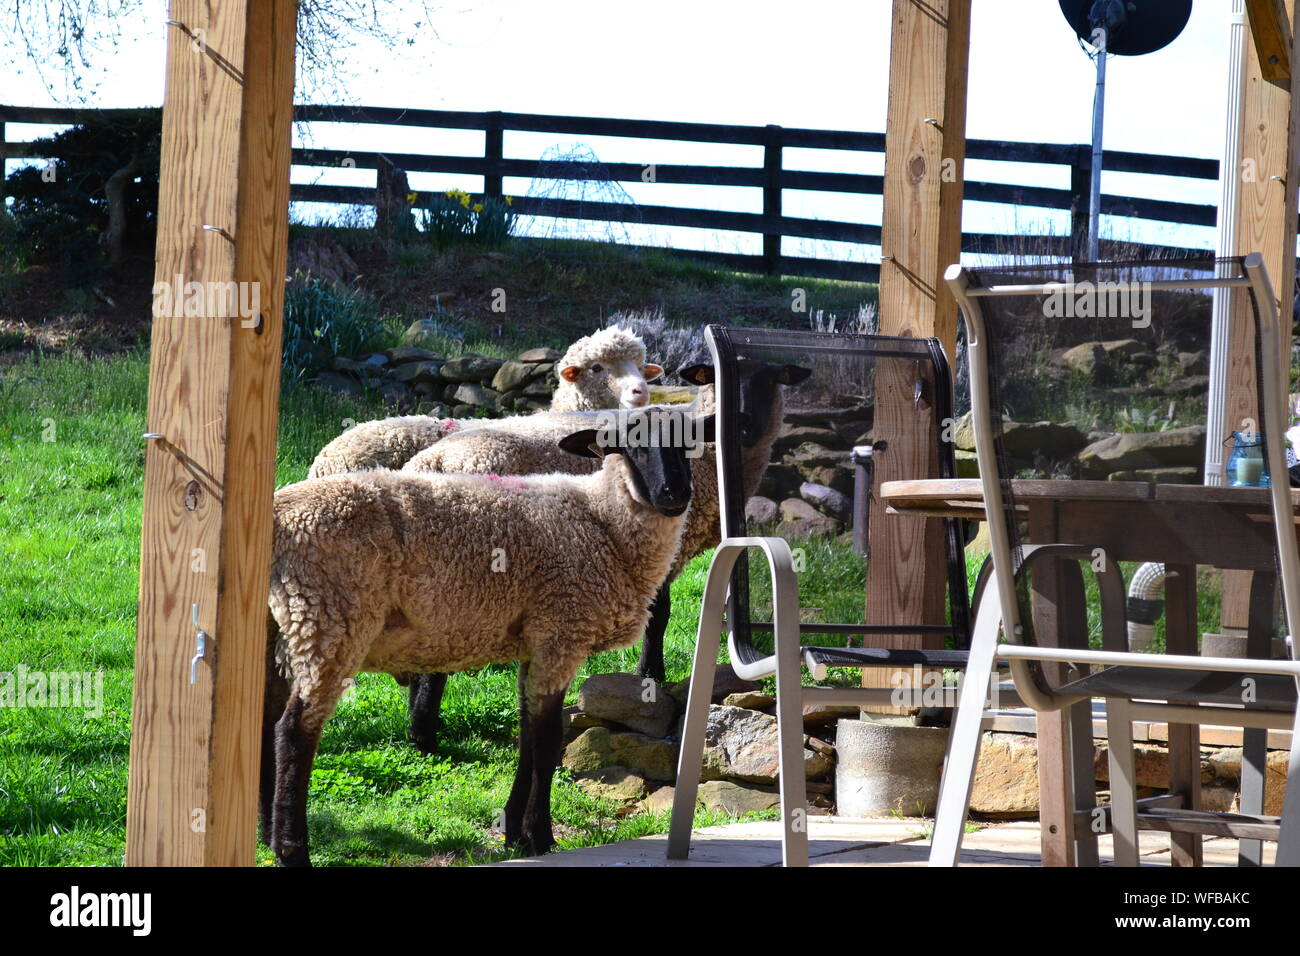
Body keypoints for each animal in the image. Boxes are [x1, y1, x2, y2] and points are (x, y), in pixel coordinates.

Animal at [261, 407, 711, 865]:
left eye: (689, 442)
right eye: (630, 445)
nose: (674, 493)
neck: (603, 522)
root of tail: (280, 514)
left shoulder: (535, 642)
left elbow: (528, 735)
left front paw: (515, 831)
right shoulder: (560, 632)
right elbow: (548, 741)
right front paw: (541, 836)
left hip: (279, 626)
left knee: (266, 719)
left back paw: (265, 832)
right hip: (329, 620)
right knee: (294, 731)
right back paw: (292, 850)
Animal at [398, 359, 811, 753]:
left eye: (770, 381)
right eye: (719, 377)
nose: (744, 424)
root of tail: (431, 463)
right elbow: (659, 616)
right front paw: (651, 675)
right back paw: (425, 735)